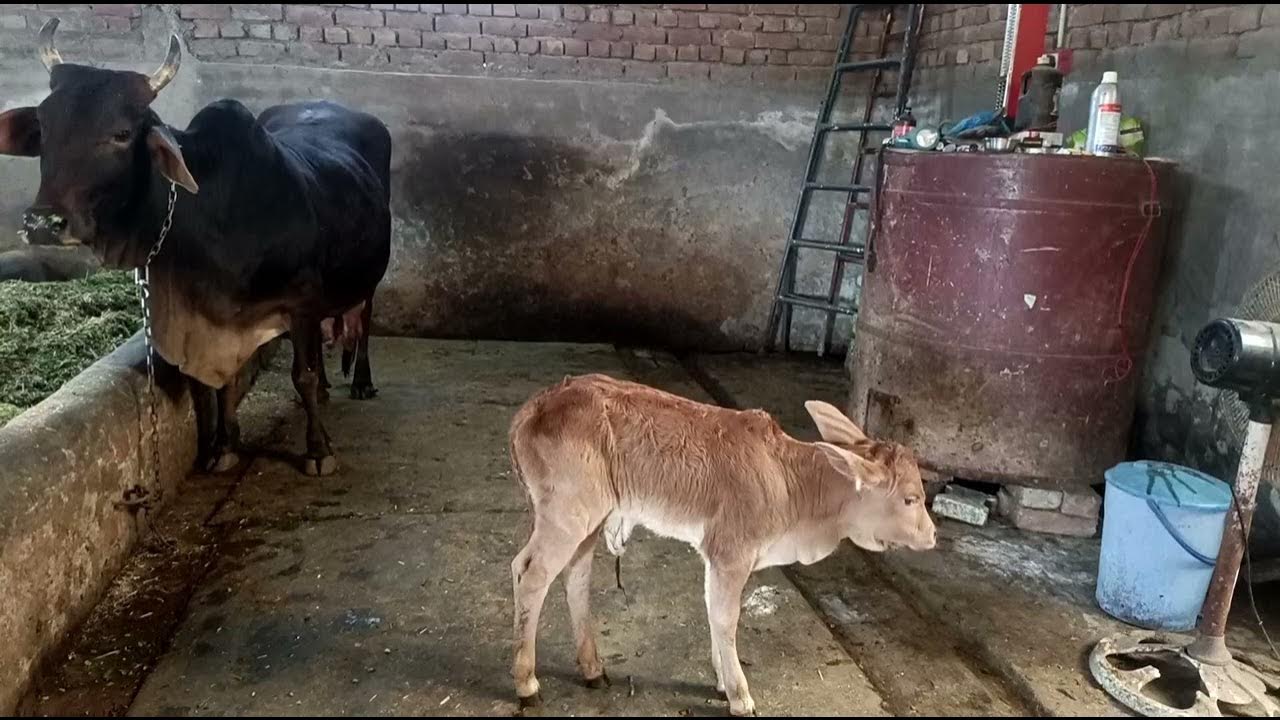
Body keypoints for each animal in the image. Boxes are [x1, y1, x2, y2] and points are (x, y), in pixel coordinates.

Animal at [0, 20, 392, 476]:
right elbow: (224, 384)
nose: (43, 223)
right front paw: (223, 446)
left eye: (122, 133)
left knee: (361, 324)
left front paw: (318, 450)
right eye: (44, 127)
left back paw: (361, 382)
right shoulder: (218, 322)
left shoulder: (300, 304)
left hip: (367, 279)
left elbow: (303, 374)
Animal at [507, 374, 937, 716]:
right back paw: (527, 684)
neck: (793, 485)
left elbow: (713, 611)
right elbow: (726, 619)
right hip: (567, 515)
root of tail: (534, 407)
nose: (933, 535)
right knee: (531, 573)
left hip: (589, 520)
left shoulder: (715, 555)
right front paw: (740, 696)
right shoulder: (732, 553)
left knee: (574, 576)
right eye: (910, 499)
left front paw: (721, 682)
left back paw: (593, 669)